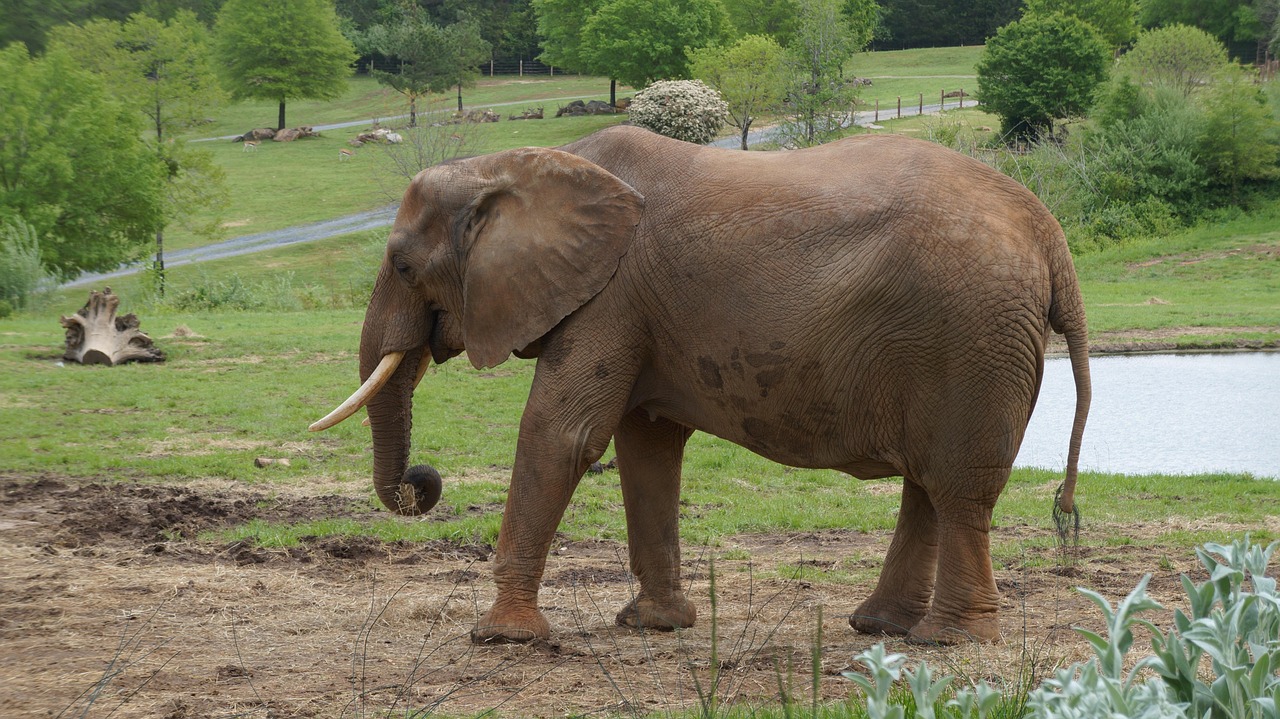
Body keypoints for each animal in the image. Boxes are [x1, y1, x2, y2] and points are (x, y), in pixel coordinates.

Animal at [311, 125, 1091, 645]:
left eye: (402, 264)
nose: (422, 481)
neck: (522, 164)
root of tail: (1049, 231)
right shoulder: (633, 310)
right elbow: (646, 448)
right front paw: (653, 625)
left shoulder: (610, 297)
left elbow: (562, 435)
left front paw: (503, 638)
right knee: (928, 485)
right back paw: (879, 628)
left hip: (971, 336)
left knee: (956, 486)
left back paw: (948, 640)